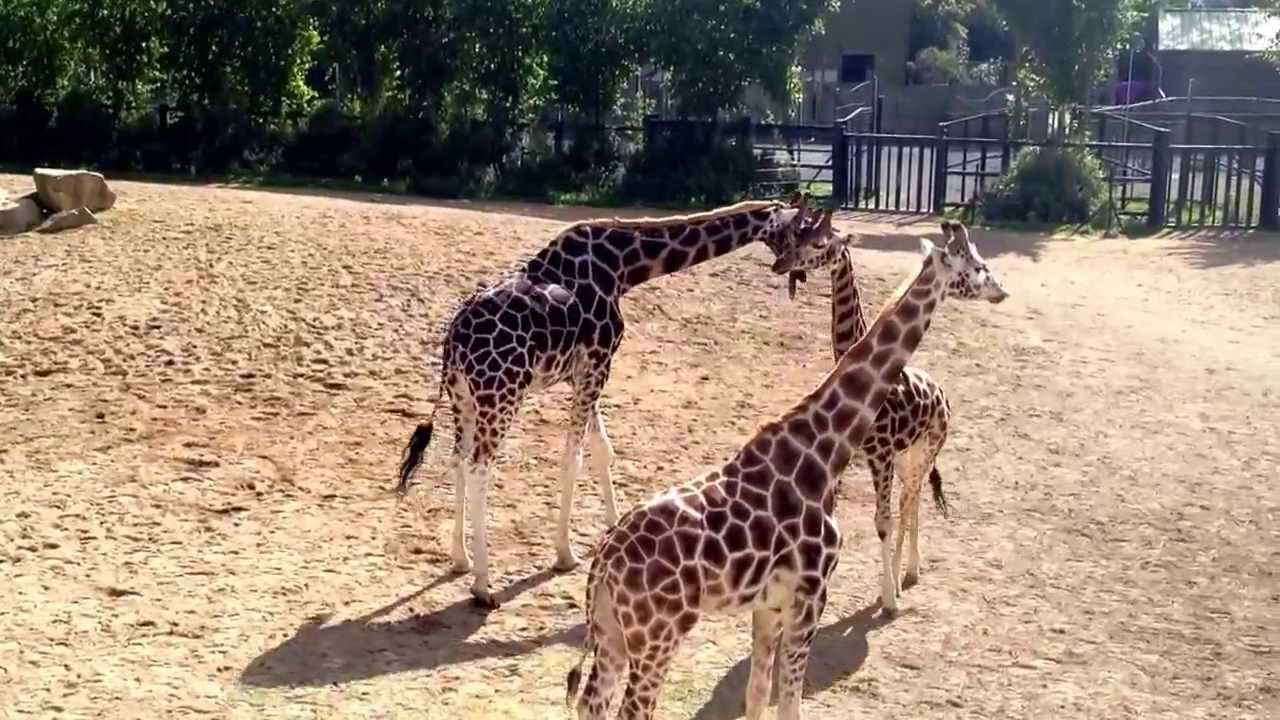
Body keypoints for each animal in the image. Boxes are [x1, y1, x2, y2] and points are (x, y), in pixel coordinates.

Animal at [395, 197, 831, 608]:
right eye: (804, 232)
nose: (794, 271)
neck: (622, 268)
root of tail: (454, 338)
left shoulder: (586, 372)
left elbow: (602, 449)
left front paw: (616, 525)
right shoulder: (597, 364)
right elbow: (574, 459)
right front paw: (565, 554)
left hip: (463, 397)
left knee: (457, 460)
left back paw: (460, 559)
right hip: (500, 395)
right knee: (479, 467)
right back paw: (483, 585)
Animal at [776, 218, 1005, 615]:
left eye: (820, 244)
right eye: (798, 238)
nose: (1000, 291)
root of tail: (943, 394)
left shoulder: (880, 454)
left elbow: (883, 521)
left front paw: (888, 597)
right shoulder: (852, 458)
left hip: (925, 451)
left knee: (909, 501)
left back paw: (906, 573)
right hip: (906, 455)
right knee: (911, 501)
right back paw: (905, 572)